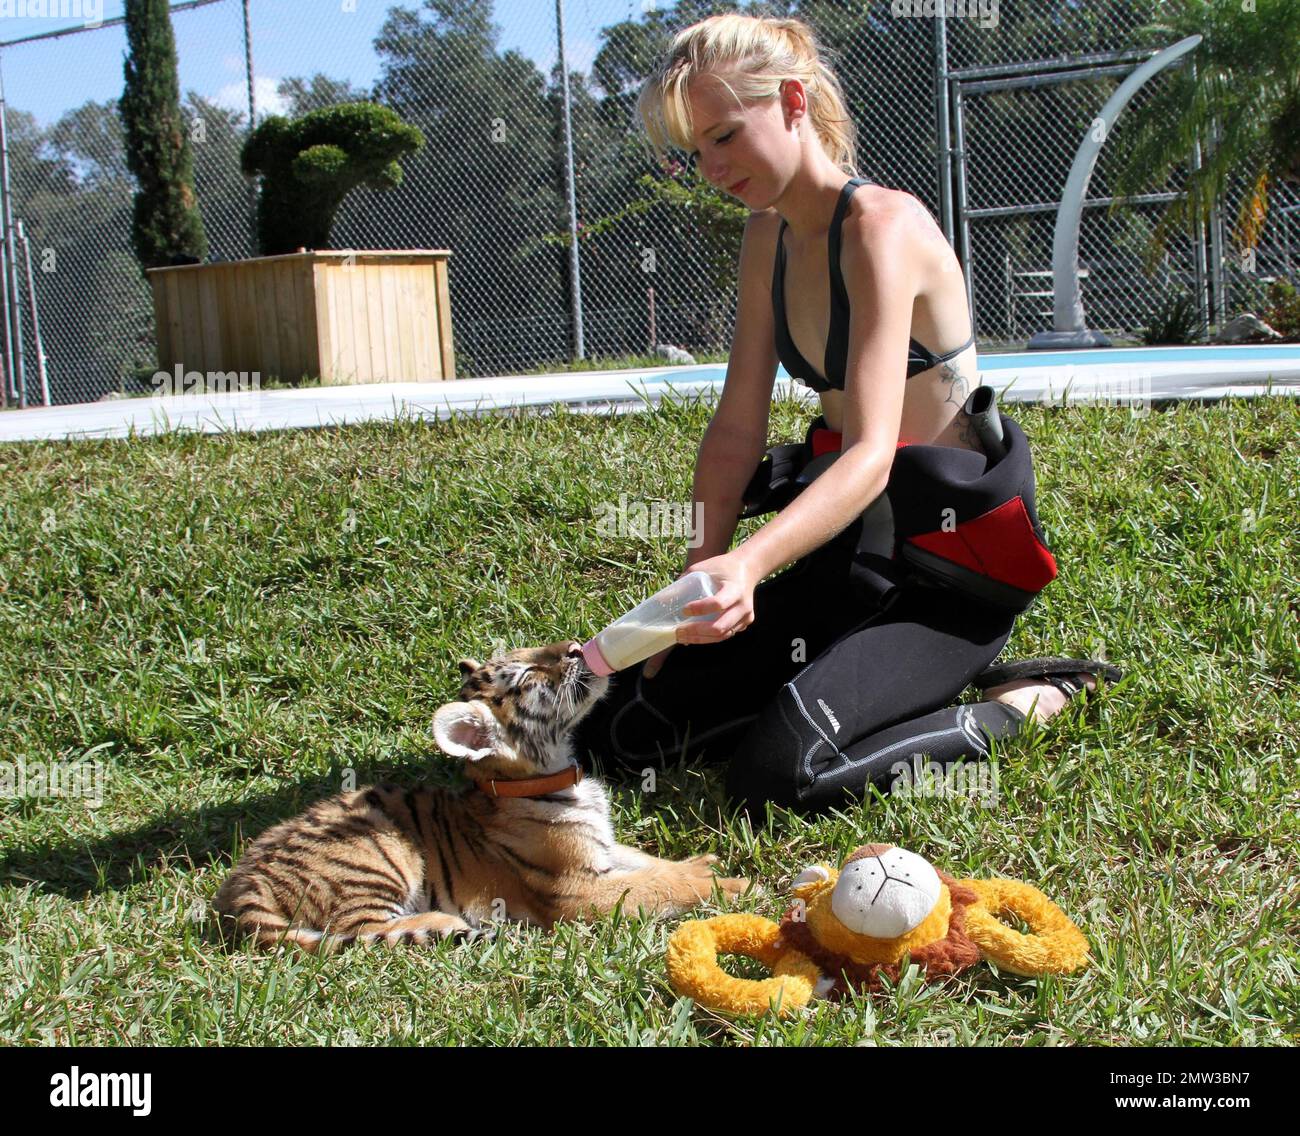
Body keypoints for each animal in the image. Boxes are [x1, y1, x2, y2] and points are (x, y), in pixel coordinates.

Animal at [211, 639, 750, 952]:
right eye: (529, 677)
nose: (577, 649)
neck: (553, 772)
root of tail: (243, 886)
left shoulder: (602, 847)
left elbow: (650, 865)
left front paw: (703, 865)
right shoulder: (573, 889)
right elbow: (650, 887)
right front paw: (732, 886)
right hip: (380, 855)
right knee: (359, 931)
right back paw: (451, 925)